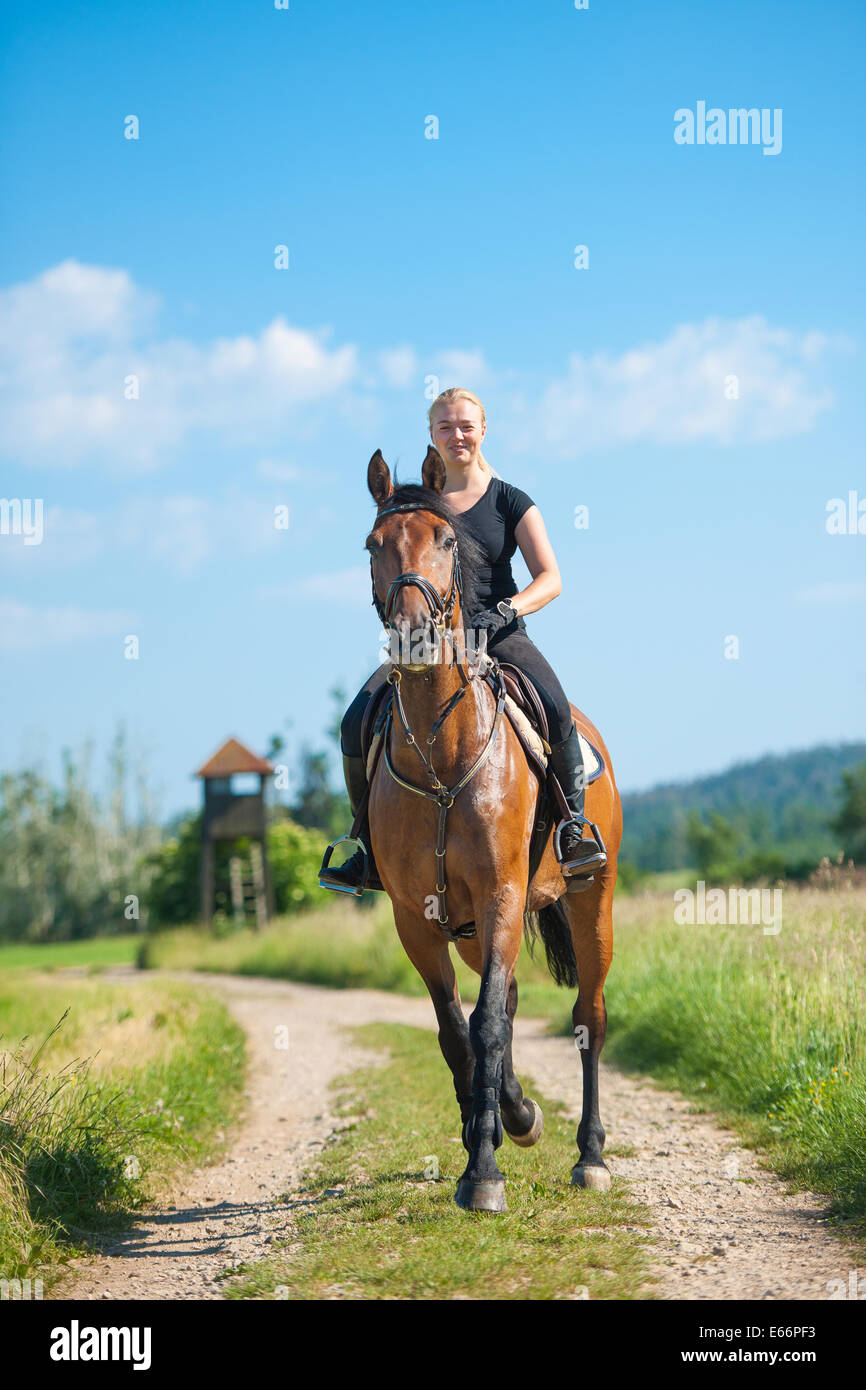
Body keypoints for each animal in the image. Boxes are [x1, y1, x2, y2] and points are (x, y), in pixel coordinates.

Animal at [361, 450, 619, 1212]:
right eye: (373, 546)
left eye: (447, 541)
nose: (414, 635)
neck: (443, 755)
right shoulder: (417, 916)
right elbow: (459, 1029)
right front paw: (500, 1125)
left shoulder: (503, 894)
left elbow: (488, 1024)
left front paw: (483, 1169)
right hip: (473, 929)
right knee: (503, 1000)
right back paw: (513, 1112)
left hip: (591, 901)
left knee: (590, 1017)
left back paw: (590, 1155)